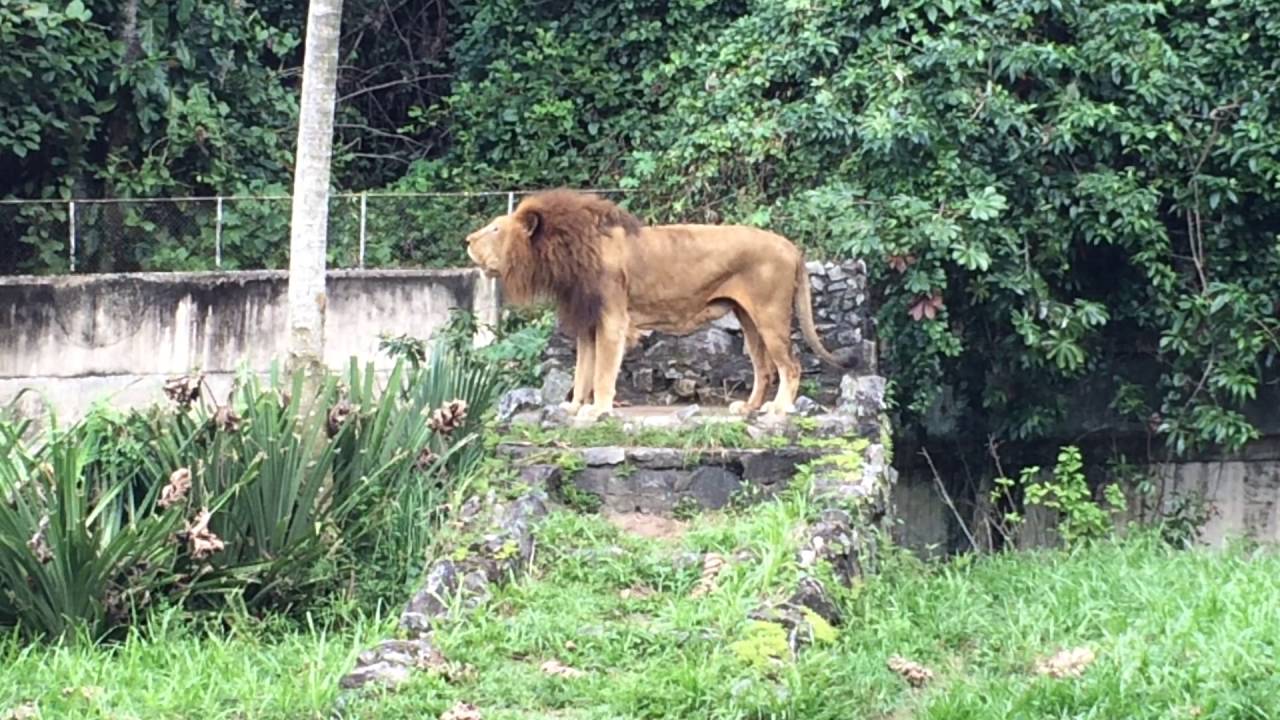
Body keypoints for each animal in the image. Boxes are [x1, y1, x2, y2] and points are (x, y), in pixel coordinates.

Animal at [465, 189, 843, 421]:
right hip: (748, 319)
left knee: (791, 365)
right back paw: (748, 407)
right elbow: (582, 370)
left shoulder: (612, 320)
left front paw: (598, 411)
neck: (566, 254)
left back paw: (778, 409)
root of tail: (791, 247)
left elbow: (602, 371)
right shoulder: (587, 322)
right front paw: (573, 408)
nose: (467, 240)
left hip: (770, 315)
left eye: (496, 228)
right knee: (764, 368)